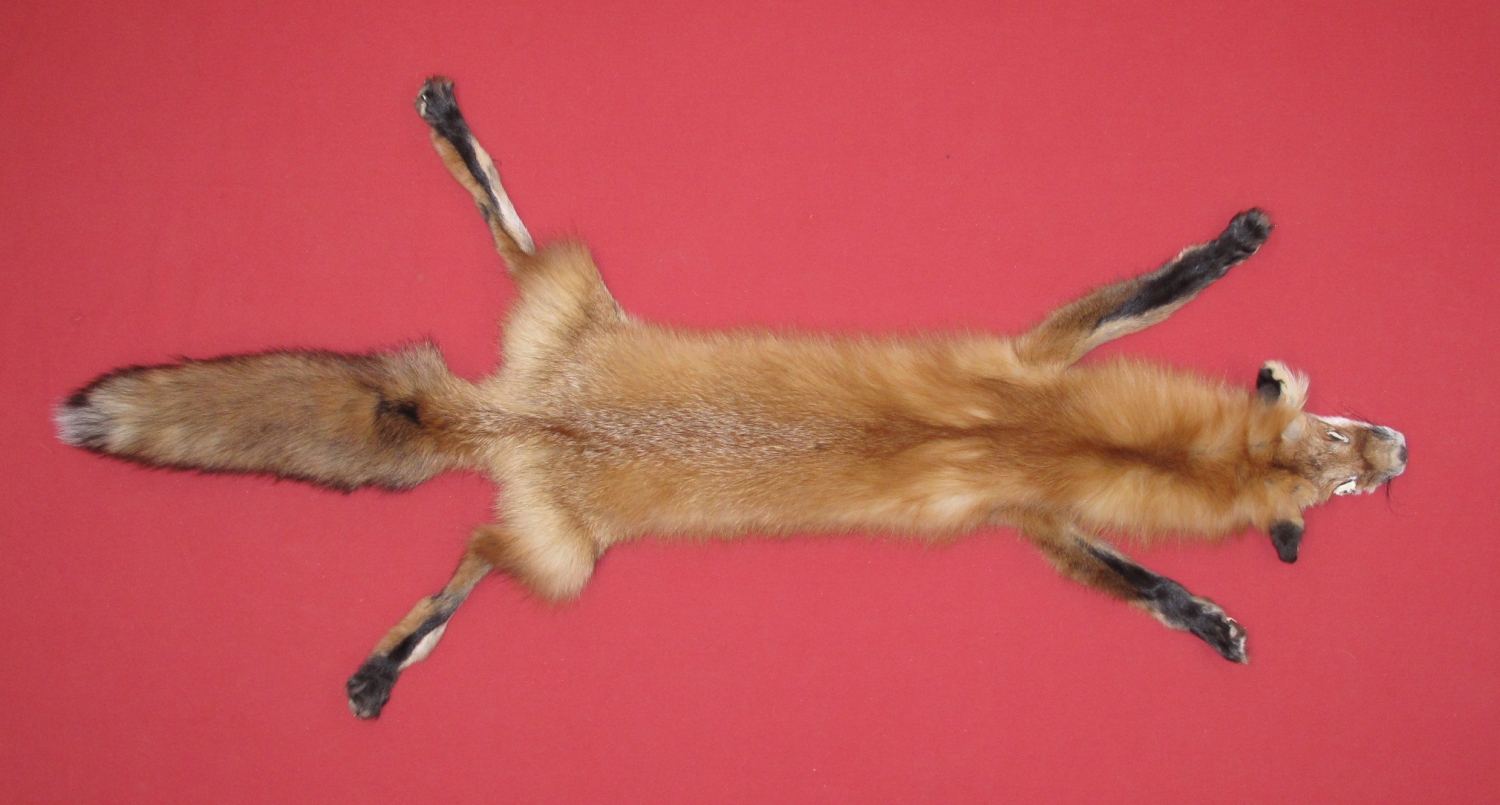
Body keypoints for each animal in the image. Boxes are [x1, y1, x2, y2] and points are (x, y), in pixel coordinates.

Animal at [56, 78, 1408, 719]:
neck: (1050, 433)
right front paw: (1228, 249)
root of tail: (510, 421)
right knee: (479, 531)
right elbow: (1155, 308)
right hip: (567, 536)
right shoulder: (1038, 386)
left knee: (478, 508)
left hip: (559, 401)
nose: (1402, 449)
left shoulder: (1032, 476)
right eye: (1340, 454)